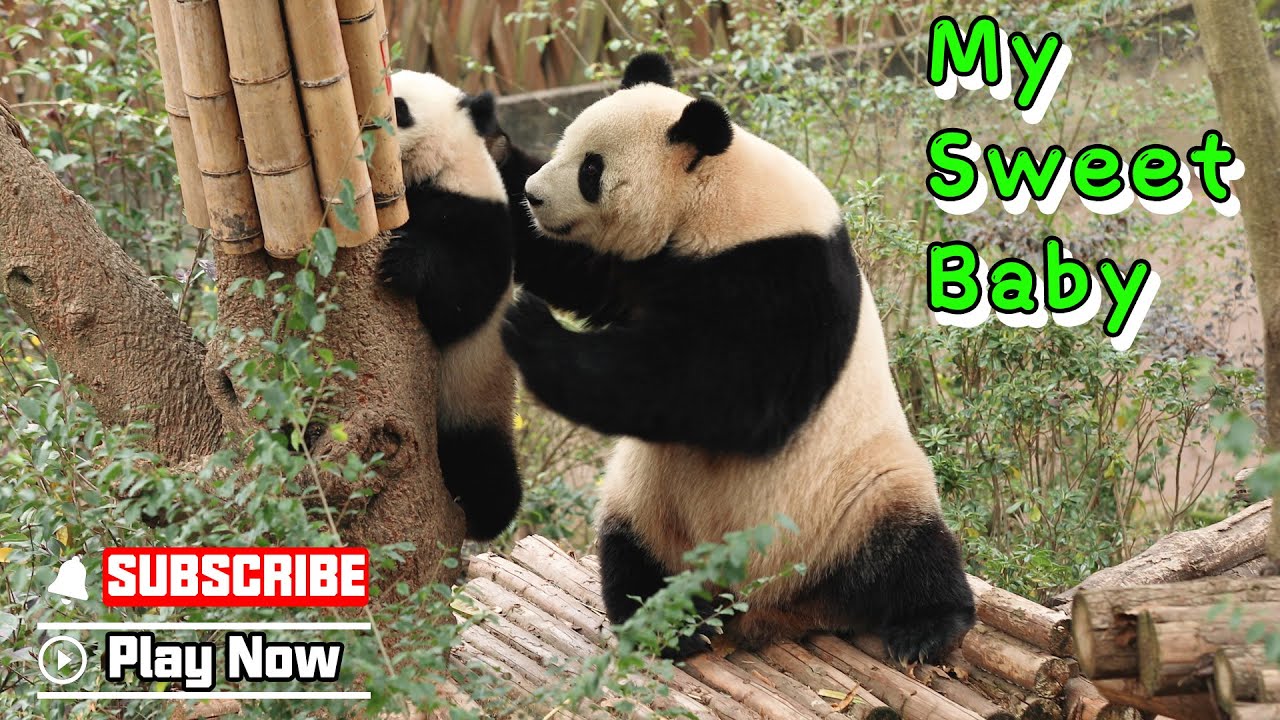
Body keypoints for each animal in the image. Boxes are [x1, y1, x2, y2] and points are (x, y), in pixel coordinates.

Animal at [378, 70, 521, 542]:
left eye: (398, 107)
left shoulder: (481, 218)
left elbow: (461, 302)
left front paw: (404, 263)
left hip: (472, 401)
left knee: (489, 470)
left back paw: (481, 511)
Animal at [499, 53, 975, 662]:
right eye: (561, 145)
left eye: (591, 170)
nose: (533, 195)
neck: (714, 196)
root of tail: (776, 607)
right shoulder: (646, 265)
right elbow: (572, 269)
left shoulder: (785, 272)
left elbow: (728, 396)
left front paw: (531, 328)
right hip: (646, 504)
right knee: (630, 555)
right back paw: (673, 624)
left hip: (859, 492)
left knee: (913, 552)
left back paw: (927, 628)